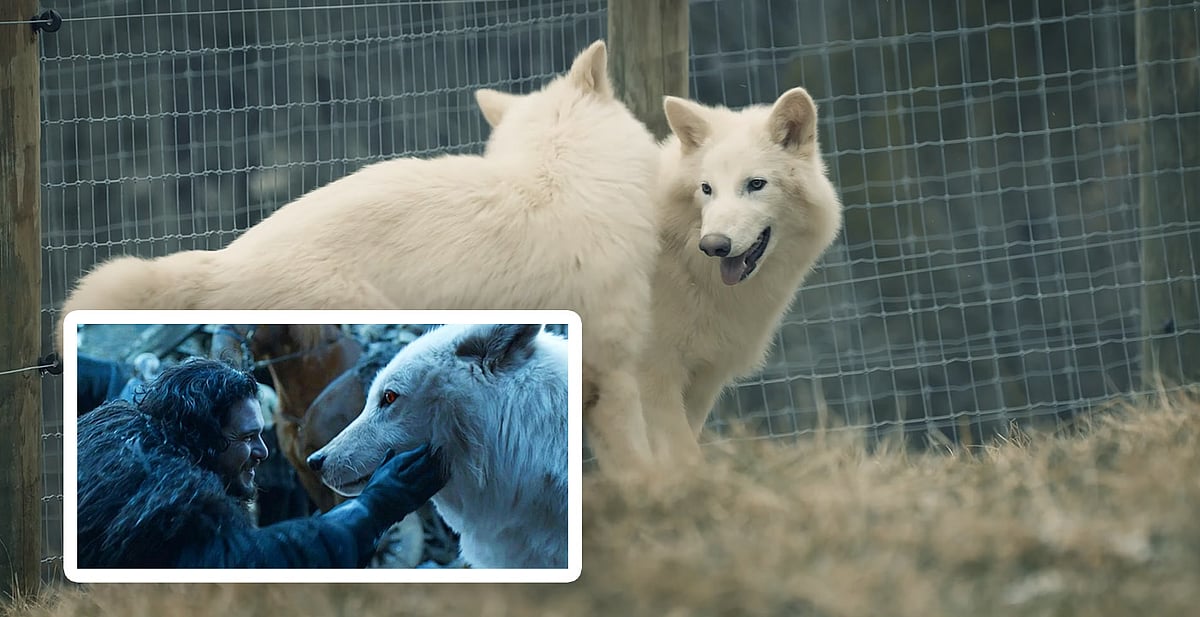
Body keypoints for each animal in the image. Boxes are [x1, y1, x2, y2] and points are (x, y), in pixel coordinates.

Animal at [637, 87, 845, 461]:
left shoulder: (702, 381)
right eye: (706, 189)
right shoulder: (654, 376)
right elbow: (685, 457)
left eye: (756, 184)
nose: (713, 245)